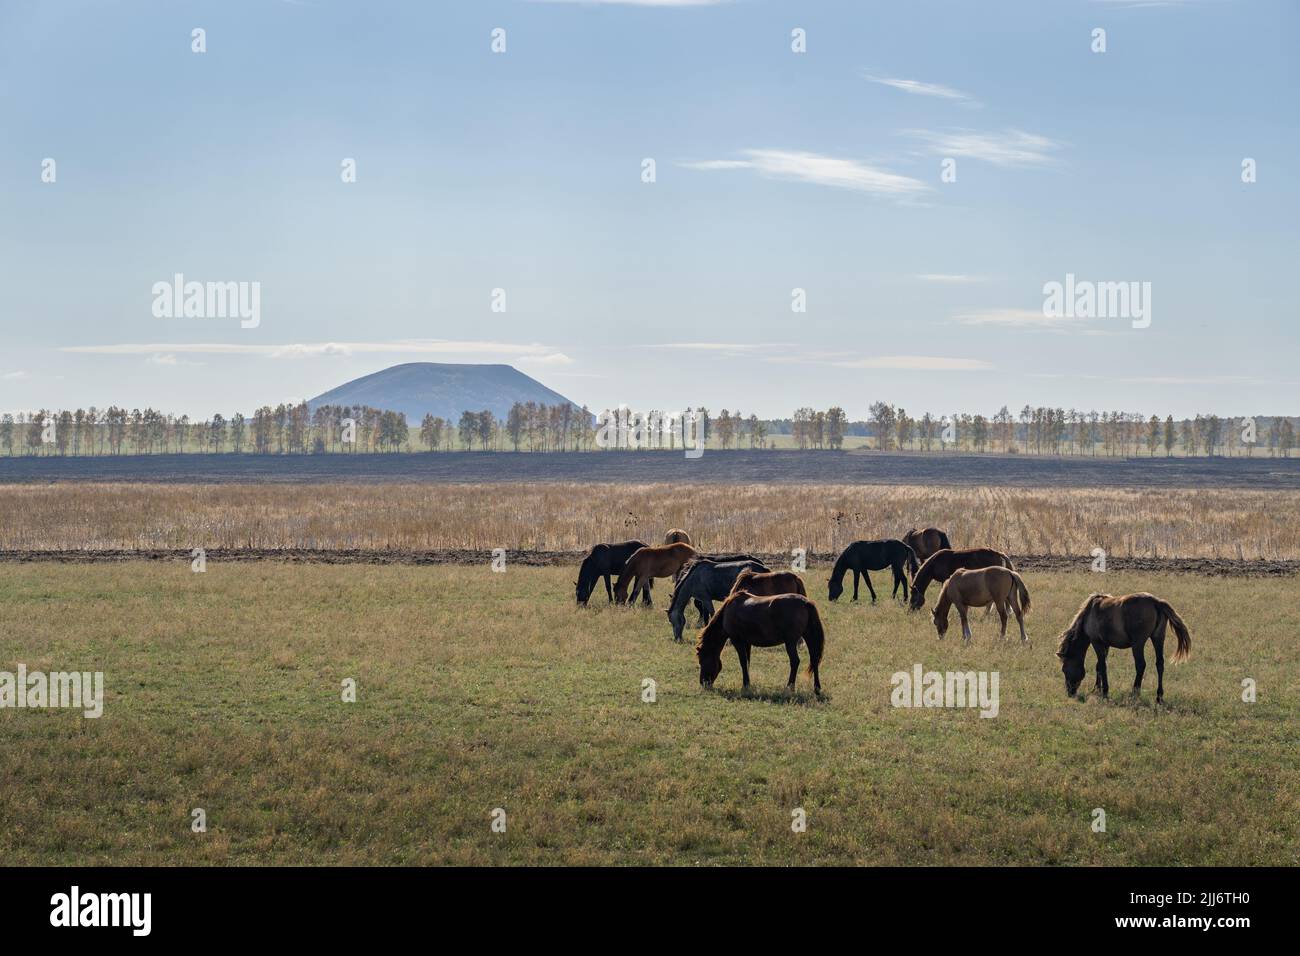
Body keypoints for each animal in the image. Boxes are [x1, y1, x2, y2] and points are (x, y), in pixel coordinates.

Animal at [696, 590, 825, 695]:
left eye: (701, 661)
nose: (703, 682)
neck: (728, 611)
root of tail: (806, 602)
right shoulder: (746, 642)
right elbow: (747, 662)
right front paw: (747, 684)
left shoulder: (737, 640)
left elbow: (743, 662)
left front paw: (745, 685)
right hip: (808, 637)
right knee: (814, 659)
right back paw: (817, 688)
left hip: (791, 642)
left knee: (795, 662)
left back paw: (789, 687)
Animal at [1056, 593, 1191, 703]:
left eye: (1064, 669)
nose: (1070, 693)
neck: (1089, 613)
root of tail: (1156, 602)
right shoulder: (1106, 645)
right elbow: (1099, 666)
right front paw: (1097, 689)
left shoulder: (1096, 642)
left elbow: (1102, 666)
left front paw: (1104, 691)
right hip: (1158, 638)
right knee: (1160, 664)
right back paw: (1159, 697)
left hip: (1138, 643)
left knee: (1141, 665)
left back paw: (1134, 694)